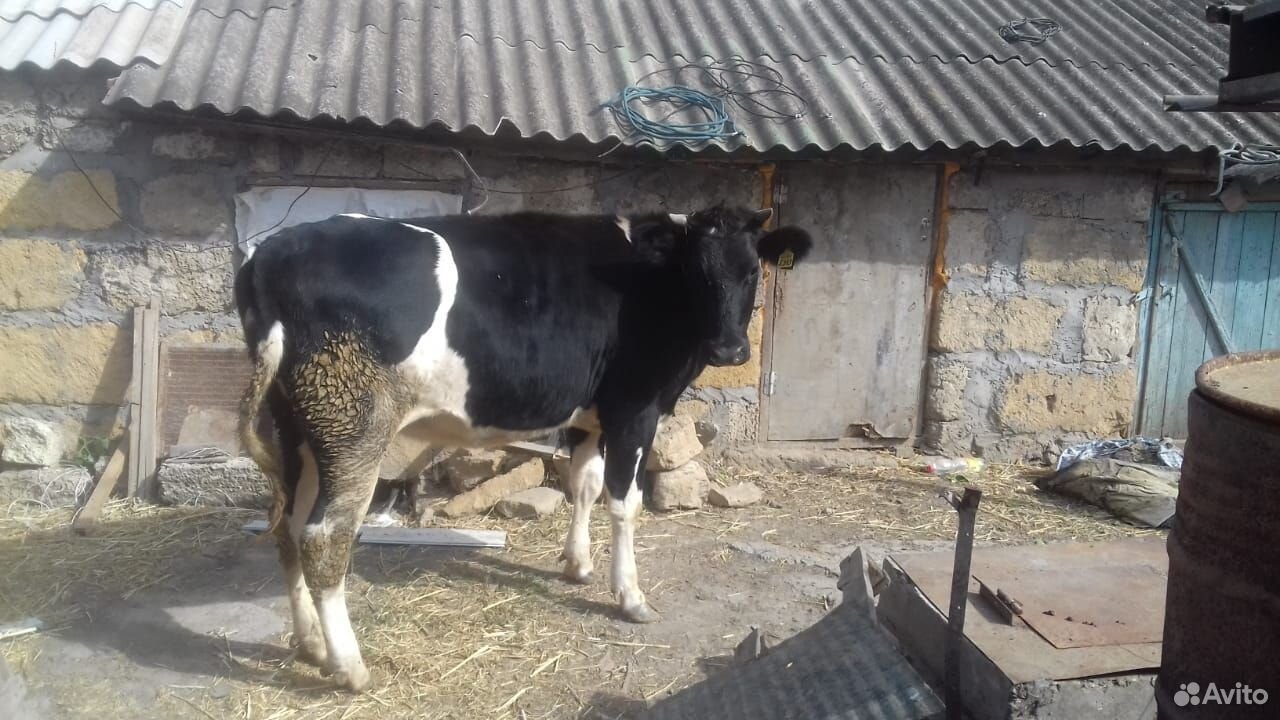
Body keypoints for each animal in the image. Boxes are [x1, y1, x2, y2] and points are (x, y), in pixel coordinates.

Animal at [234, 205, 812, 691]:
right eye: (696, 272)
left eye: (752, 271)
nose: (731, 350)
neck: (652, 285)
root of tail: (273, 252)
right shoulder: (635, 409)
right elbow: (624, 503)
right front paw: (629, 595)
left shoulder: (588, 412)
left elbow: (584, 485)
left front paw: (576, 565)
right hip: (352, 422)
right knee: (323, 536)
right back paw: (350, 666)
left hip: (301, 430)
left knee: (290, 528)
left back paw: (310, 643)